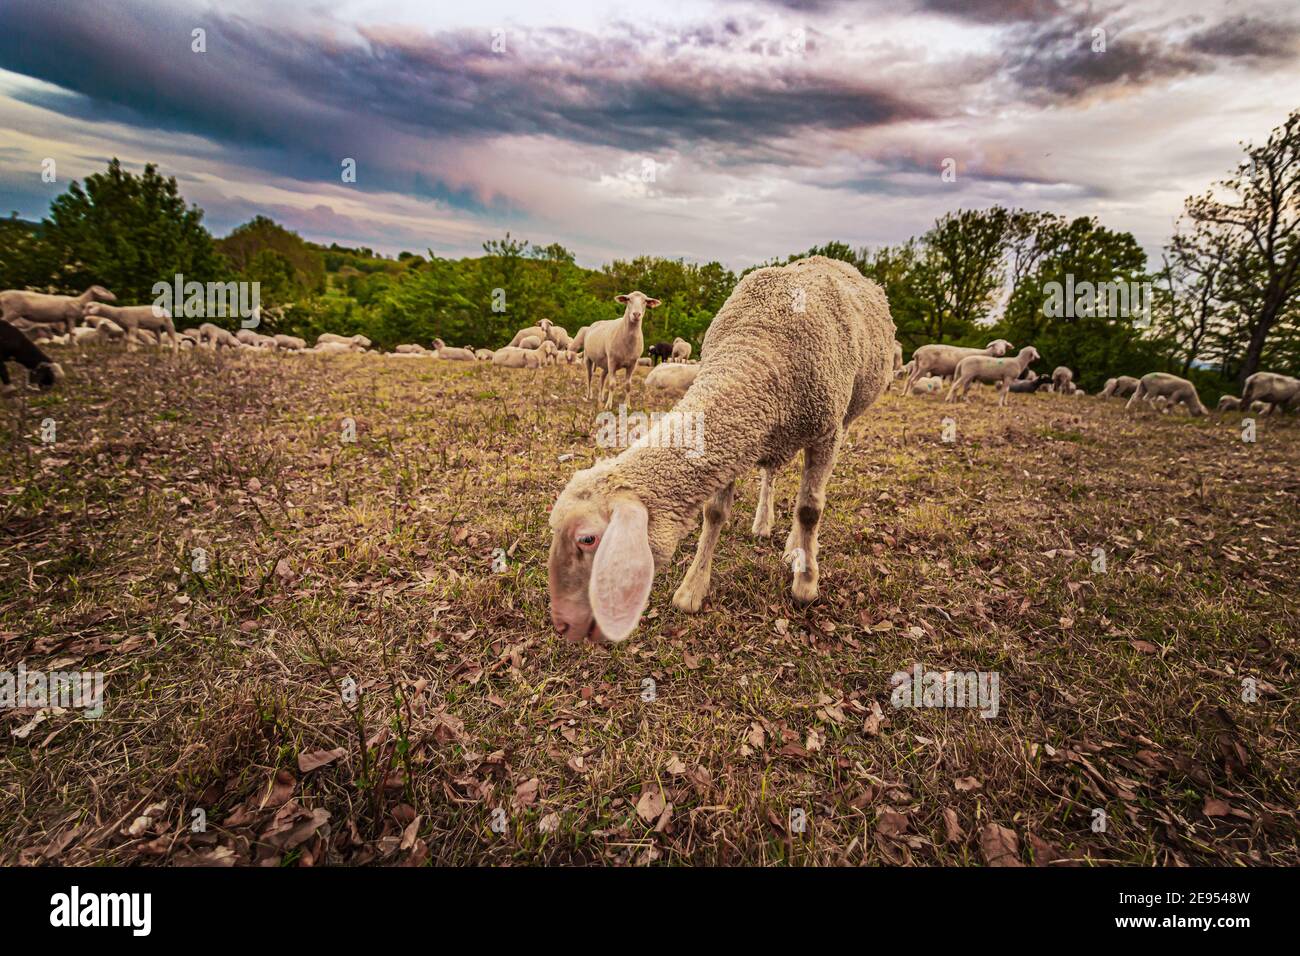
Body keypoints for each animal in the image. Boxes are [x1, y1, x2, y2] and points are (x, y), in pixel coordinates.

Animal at [547, 256, 894, 643]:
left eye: (587, 539)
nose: (562, 624)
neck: (759, 350)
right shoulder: (736, 436)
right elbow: (713, 513)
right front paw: (692, 589)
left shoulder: (826, 432)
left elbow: (808, 510)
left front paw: (805, 585)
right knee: (770, 474)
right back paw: (763, 523)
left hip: (844, 416)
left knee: (808, 500)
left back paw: (798, 549)